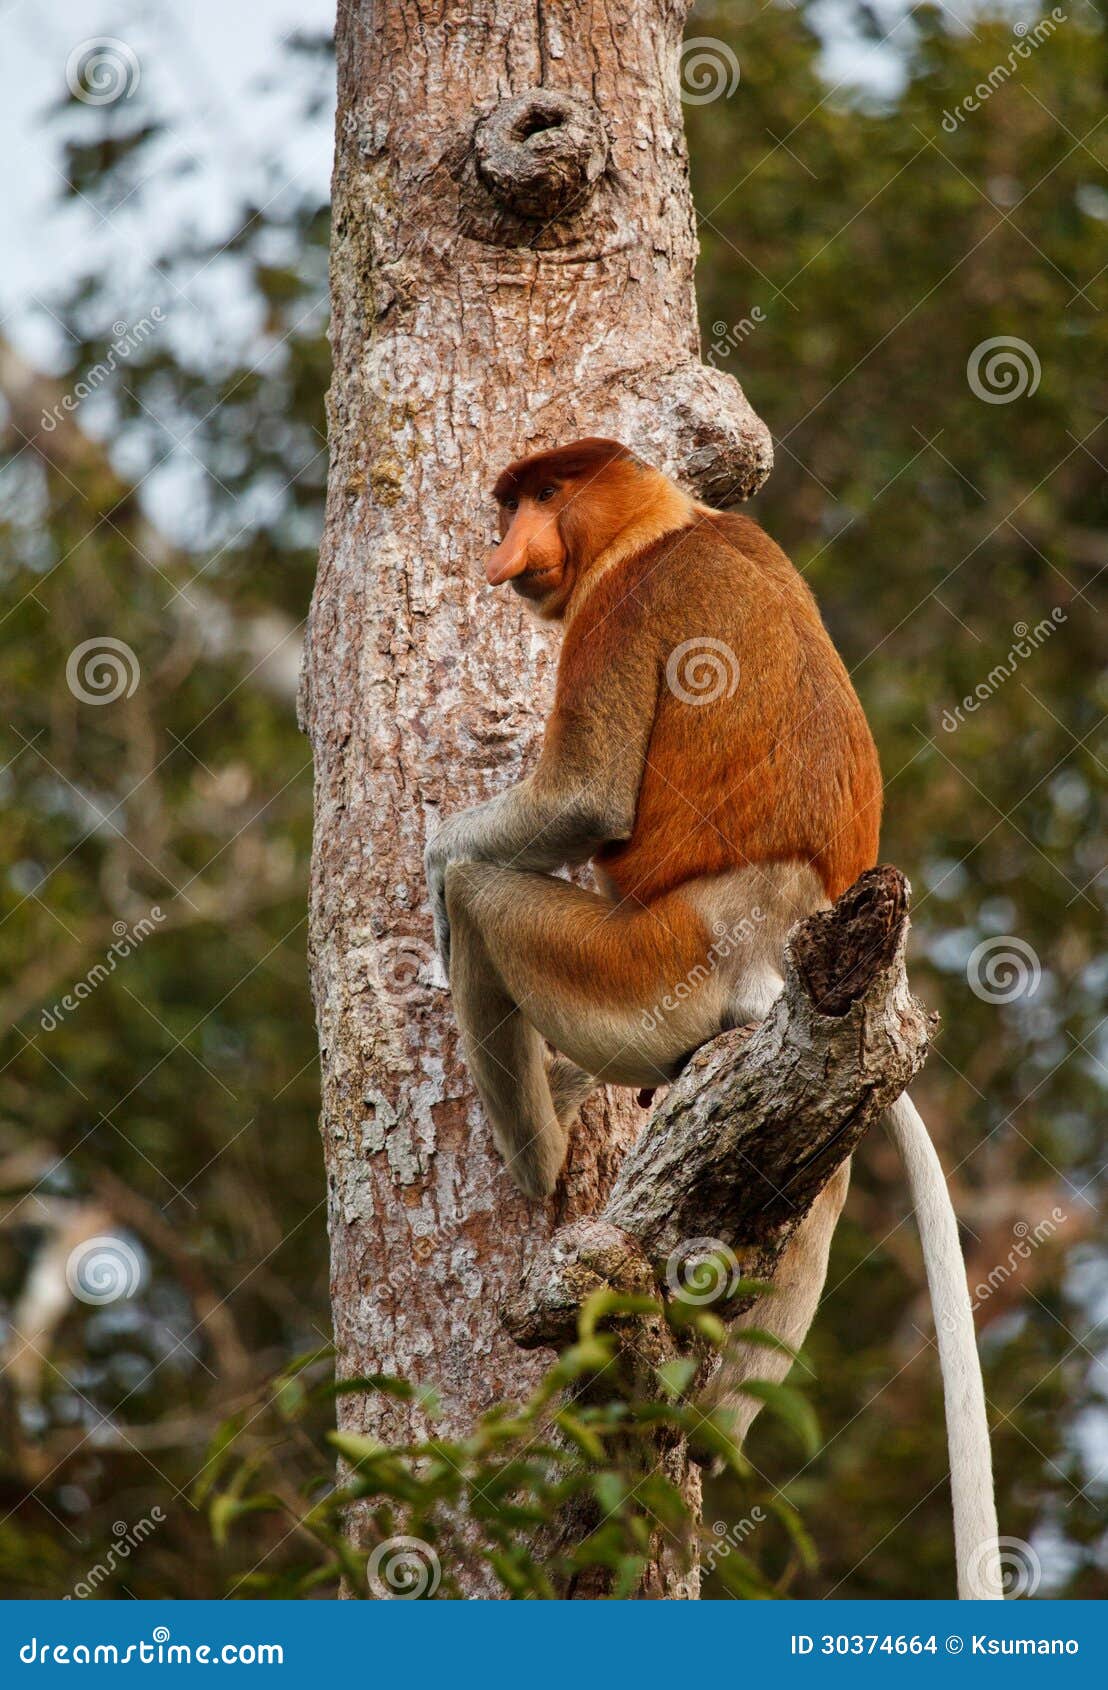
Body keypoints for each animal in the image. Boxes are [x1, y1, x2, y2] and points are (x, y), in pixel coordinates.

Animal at [424, 437, 1000, 1599]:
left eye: (540, 496)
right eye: (510, 505)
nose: (505, 553)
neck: (666, 525)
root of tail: (770, 949)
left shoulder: (618, 610)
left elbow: (583, 798)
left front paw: (431, 857)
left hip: (648, 966)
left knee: (485, 899)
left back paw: (536, 1163)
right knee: (811, 1199)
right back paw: (709, 1432)